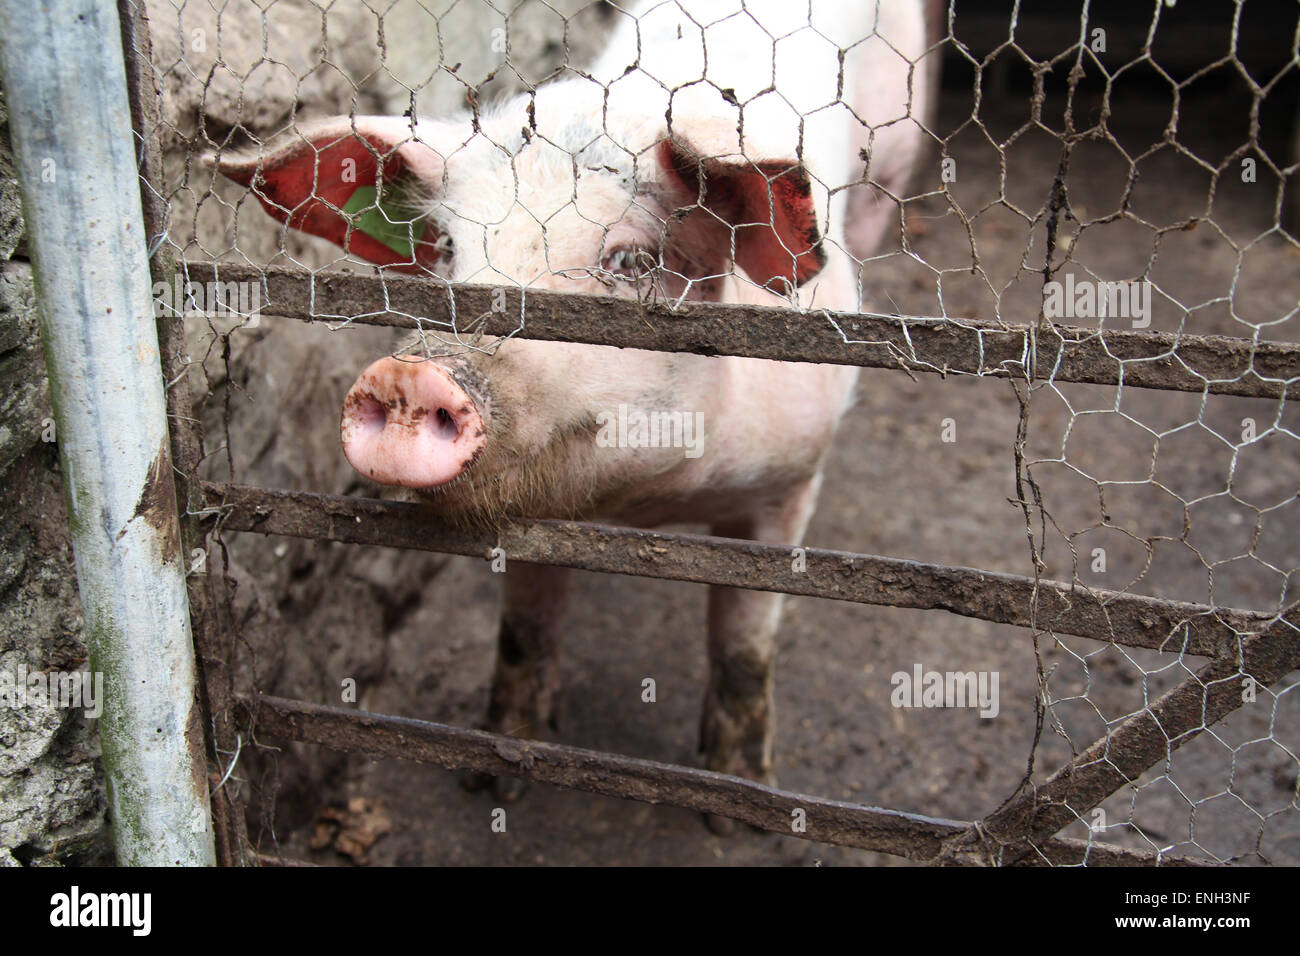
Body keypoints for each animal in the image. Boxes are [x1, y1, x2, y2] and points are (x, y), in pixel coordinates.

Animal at [217, 0, 930, 825]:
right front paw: (498, 776)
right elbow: (526, 625)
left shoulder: (791, 478)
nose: (413, 373)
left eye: (629, 261)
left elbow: (744, 641)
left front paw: (734, 807)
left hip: (895, 158)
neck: (647, 503)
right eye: (449, 250)